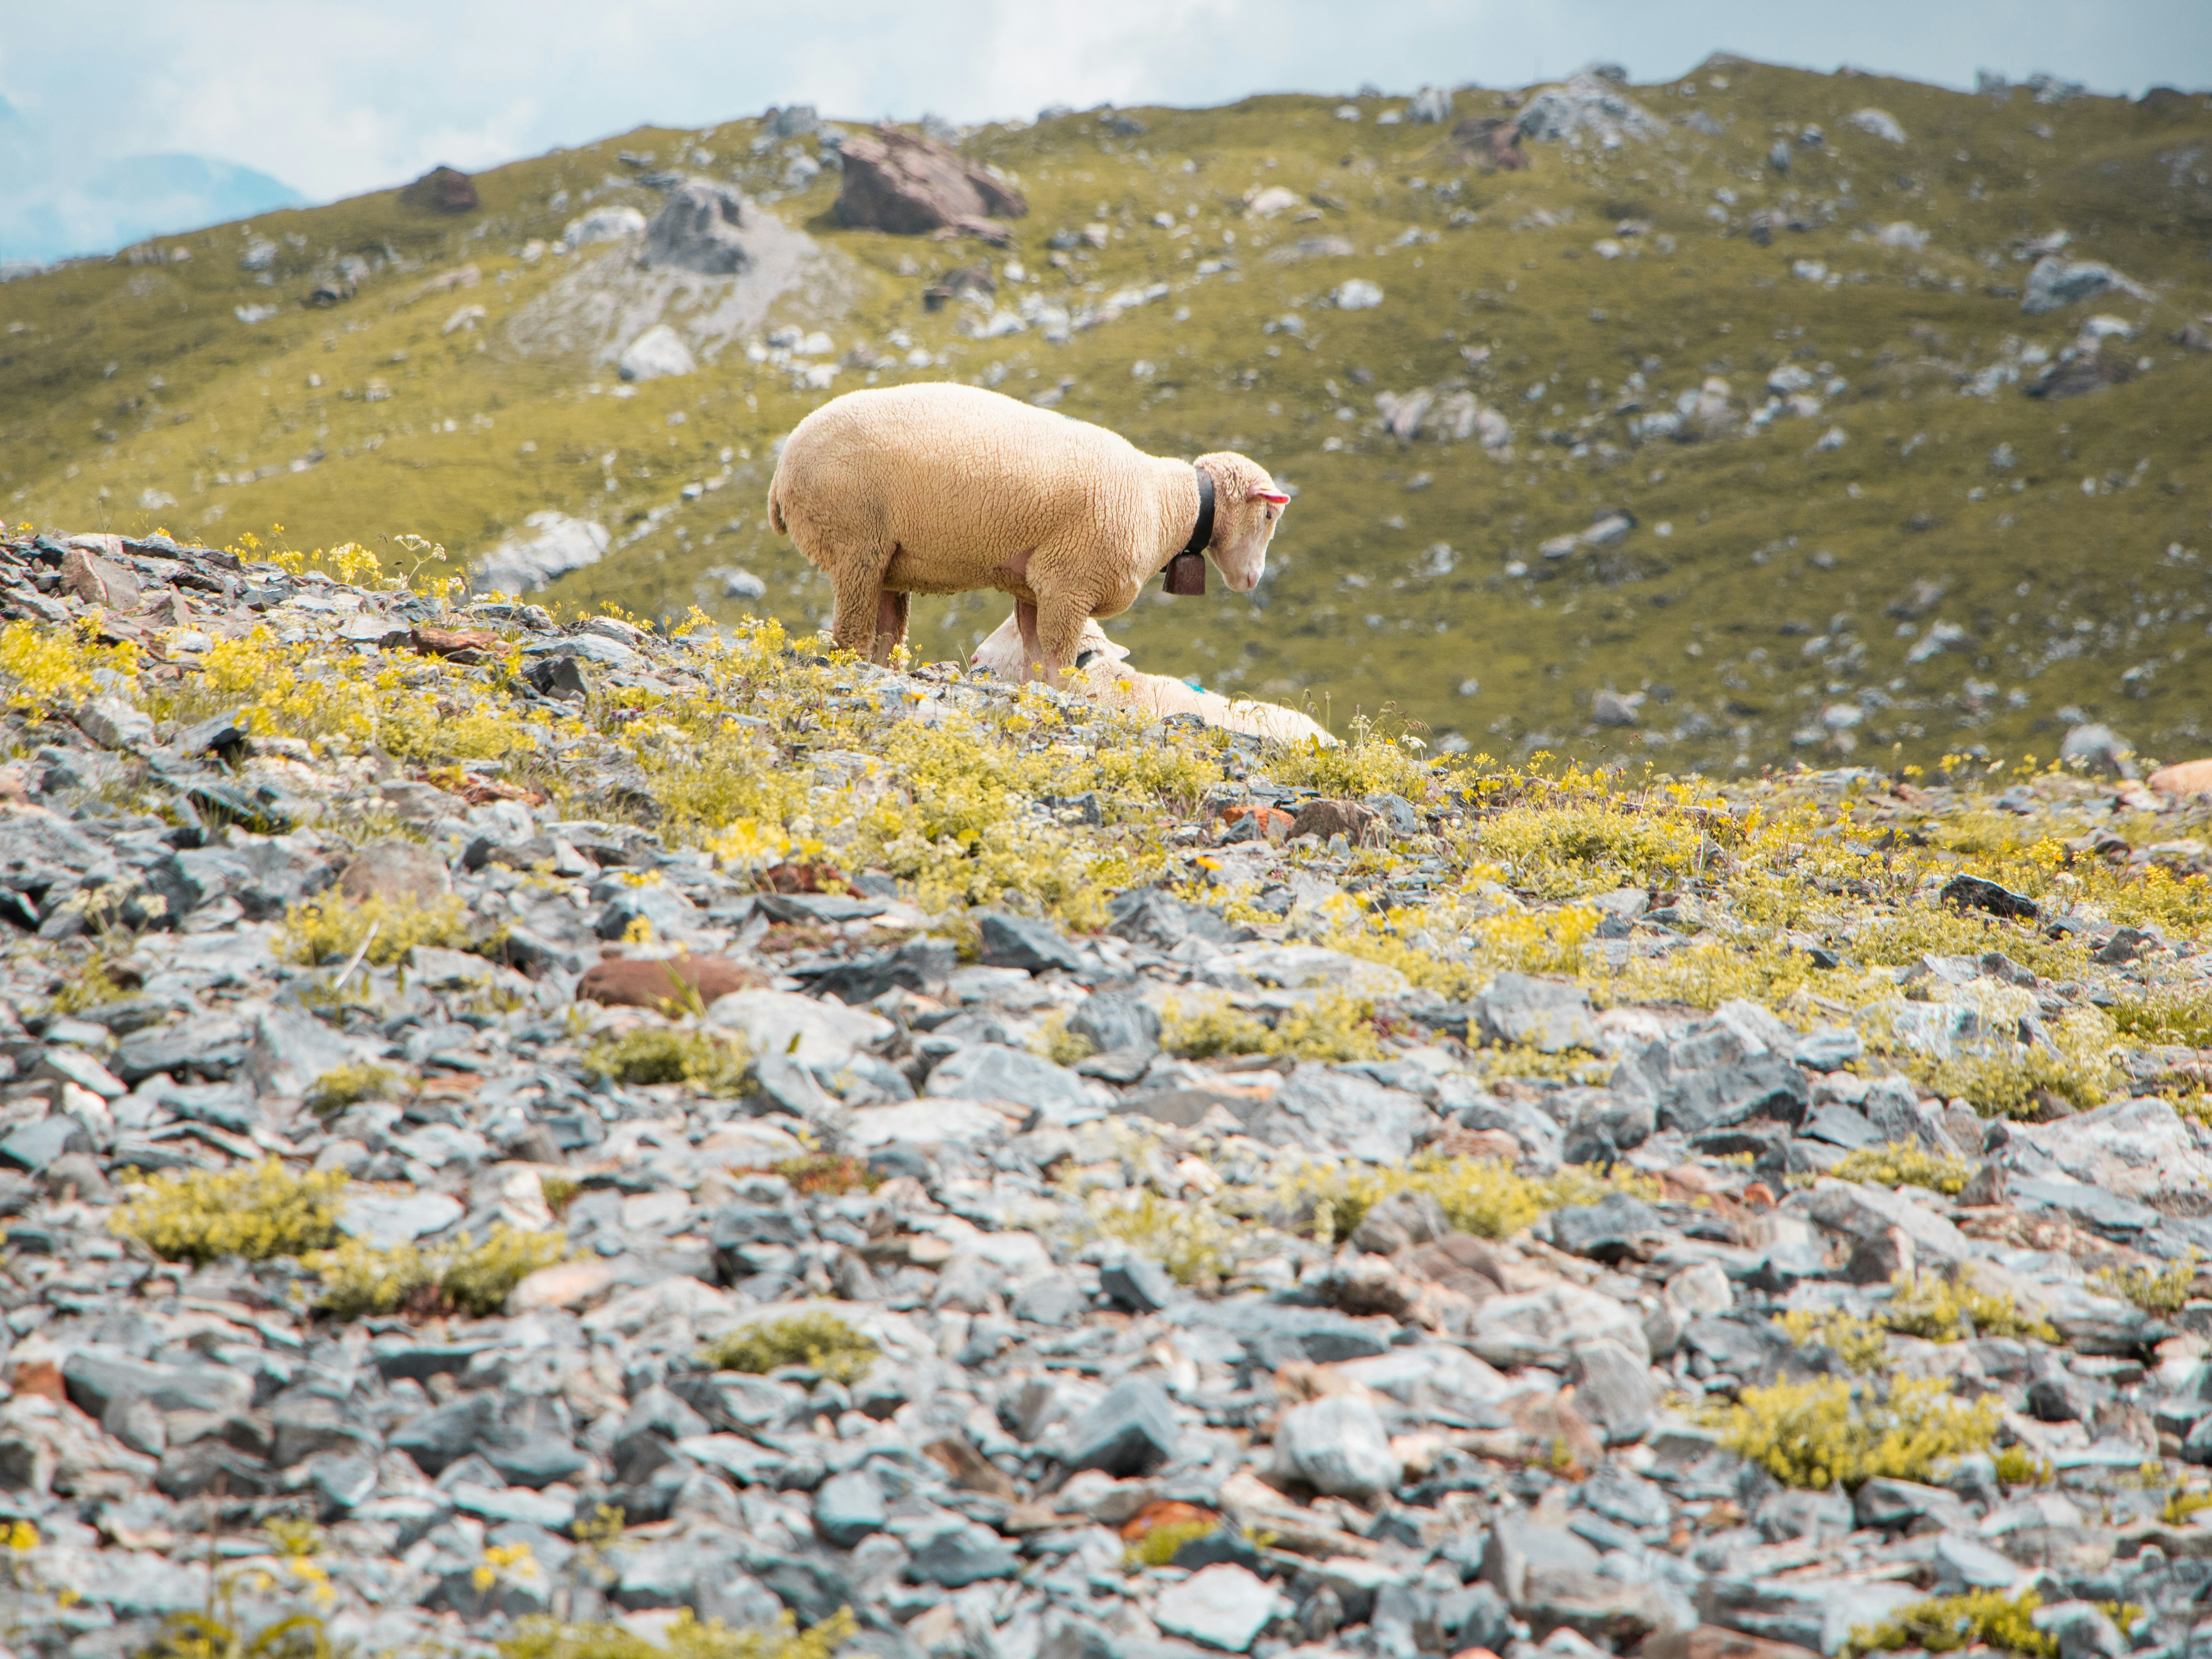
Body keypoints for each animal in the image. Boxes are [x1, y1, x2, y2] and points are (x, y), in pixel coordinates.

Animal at [766, 383, 1289, 683]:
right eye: (1269, 516)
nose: (1253, 580)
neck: (1167, 505)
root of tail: (784, 466)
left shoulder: (1037, 585)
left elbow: (1037, 659)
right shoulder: (1070, 582)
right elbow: (1059, 663)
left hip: (887, 557)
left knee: (886, 637)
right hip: (855, 540)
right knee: (851, 637)